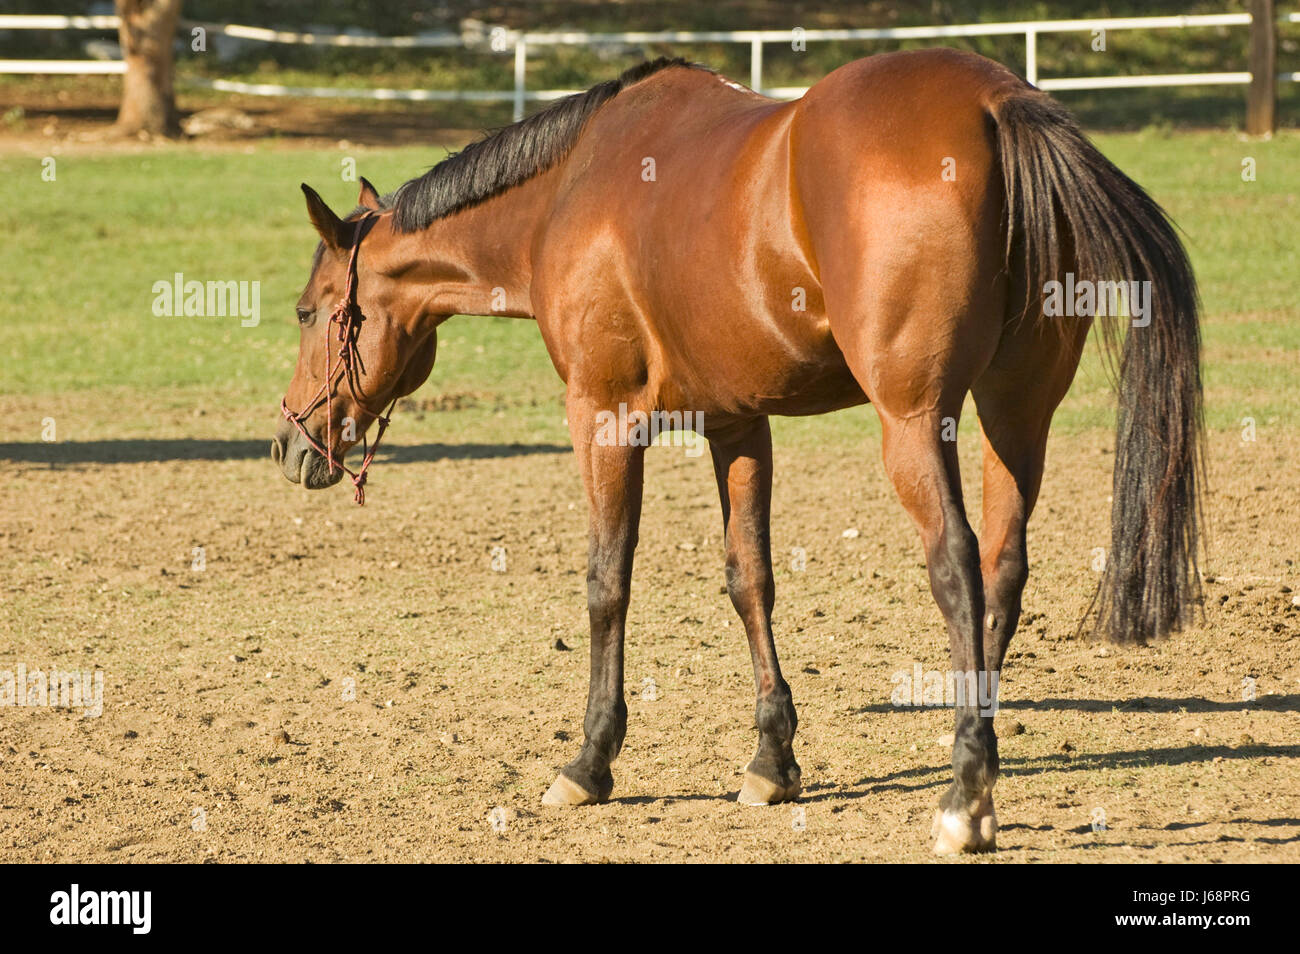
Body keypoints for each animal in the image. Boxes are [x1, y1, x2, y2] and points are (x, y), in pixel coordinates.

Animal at [271, 50, 1202, 854]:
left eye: (310, 311)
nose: (289, 443)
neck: (569, 191)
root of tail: (994, 100)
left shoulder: (602, 418)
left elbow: (608, 583)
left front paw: (590, 761)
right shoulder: (738, 426)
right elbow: (749, 580)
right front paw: (771, 760)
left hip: (914, 421)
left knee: (958, 565)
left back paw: (965, 796)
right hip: (1016, 413)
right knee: (1005, 570)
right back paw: (979, 750)